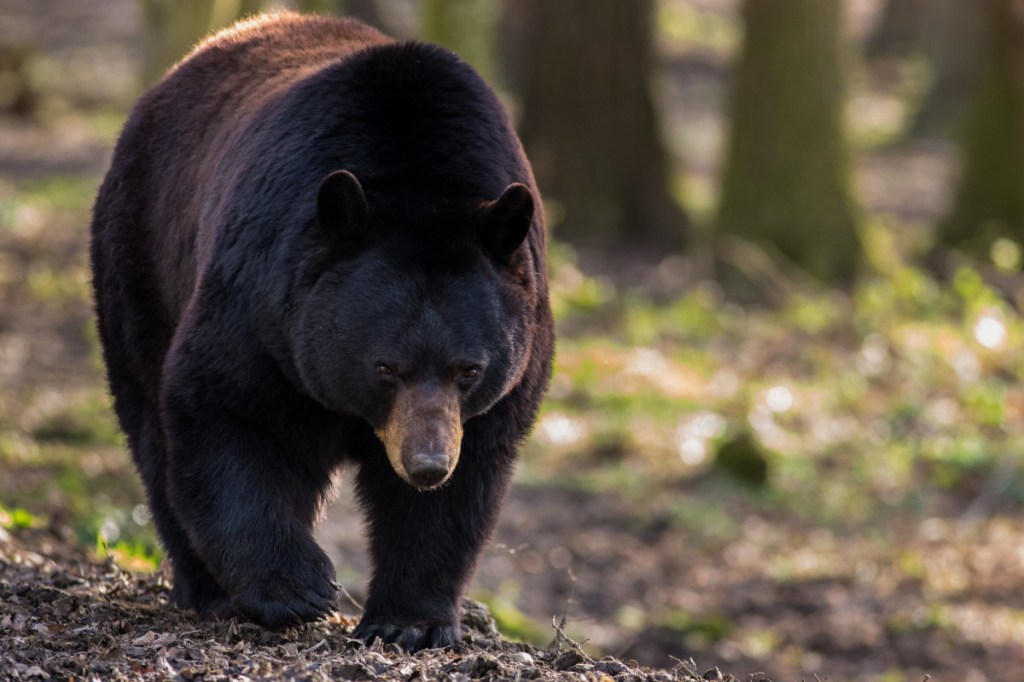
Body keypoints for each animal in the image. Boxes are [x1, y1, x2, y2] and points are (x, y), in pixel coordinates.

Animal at [89, 12, 553, 651]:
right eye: (385, 366)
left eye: (469, 369)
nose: (427, 463)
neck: (419, 180)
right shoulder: (264, 304)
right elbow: (230, 412)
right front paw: (296, 589)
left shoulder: (510, 362)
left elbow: (461, 488)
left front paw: (408, 621)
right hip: (143, 251)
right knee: (151, 420)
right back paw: (206, 588)